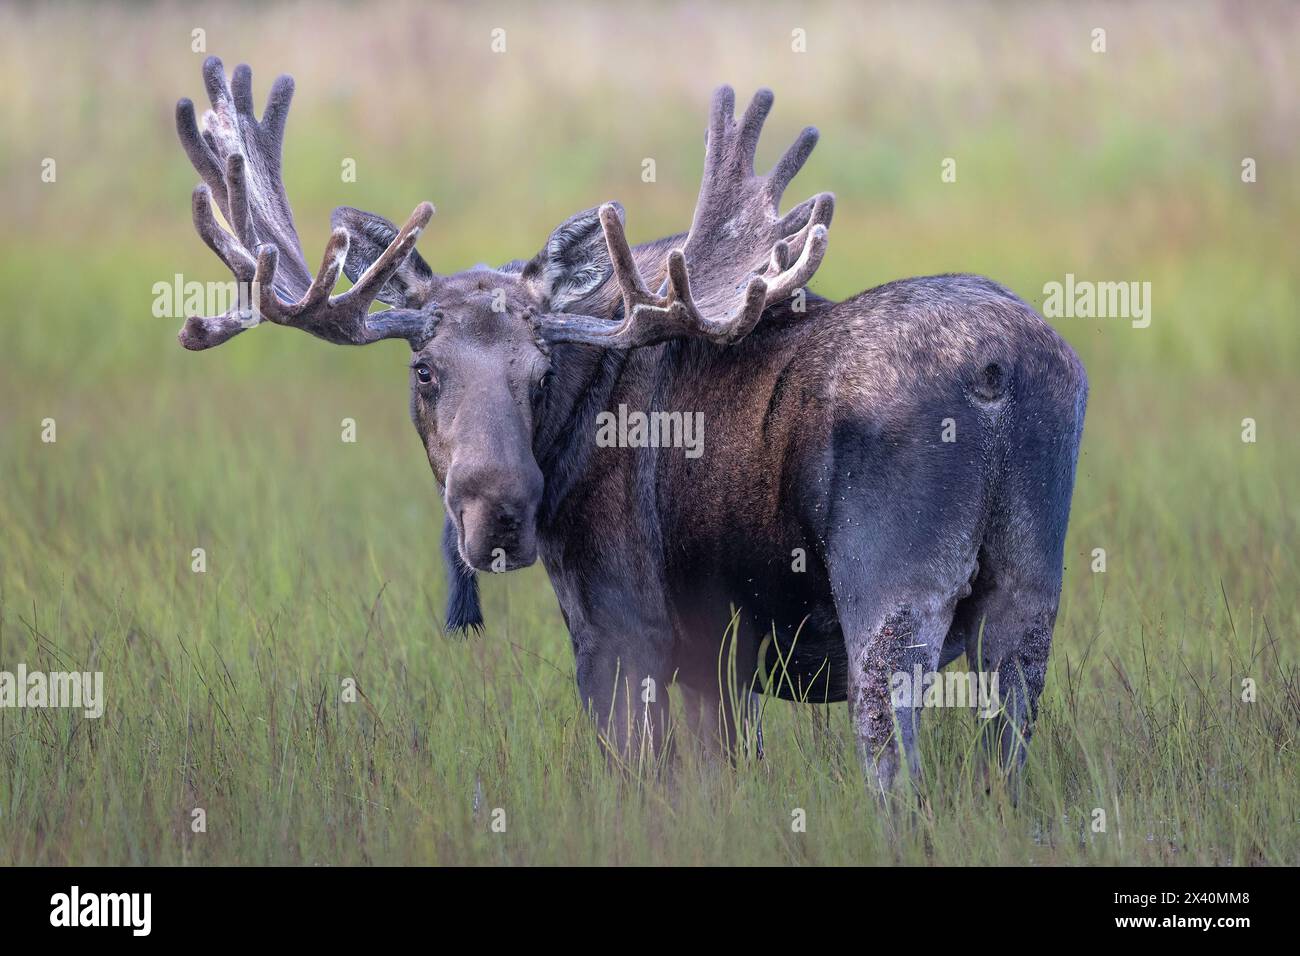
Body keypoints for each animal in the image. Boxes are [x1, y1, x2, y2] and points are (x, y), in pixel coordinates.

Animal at [172, 57, 1087, 794]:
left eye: (539, 372)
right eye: (424, 369)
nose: (498, 512)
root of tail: (1001, 370)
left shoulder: (620, 630)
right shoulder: (720, 660)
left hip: (892, 597)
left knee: (898, 773)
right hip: (1028, 601)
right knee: (1005, 769)